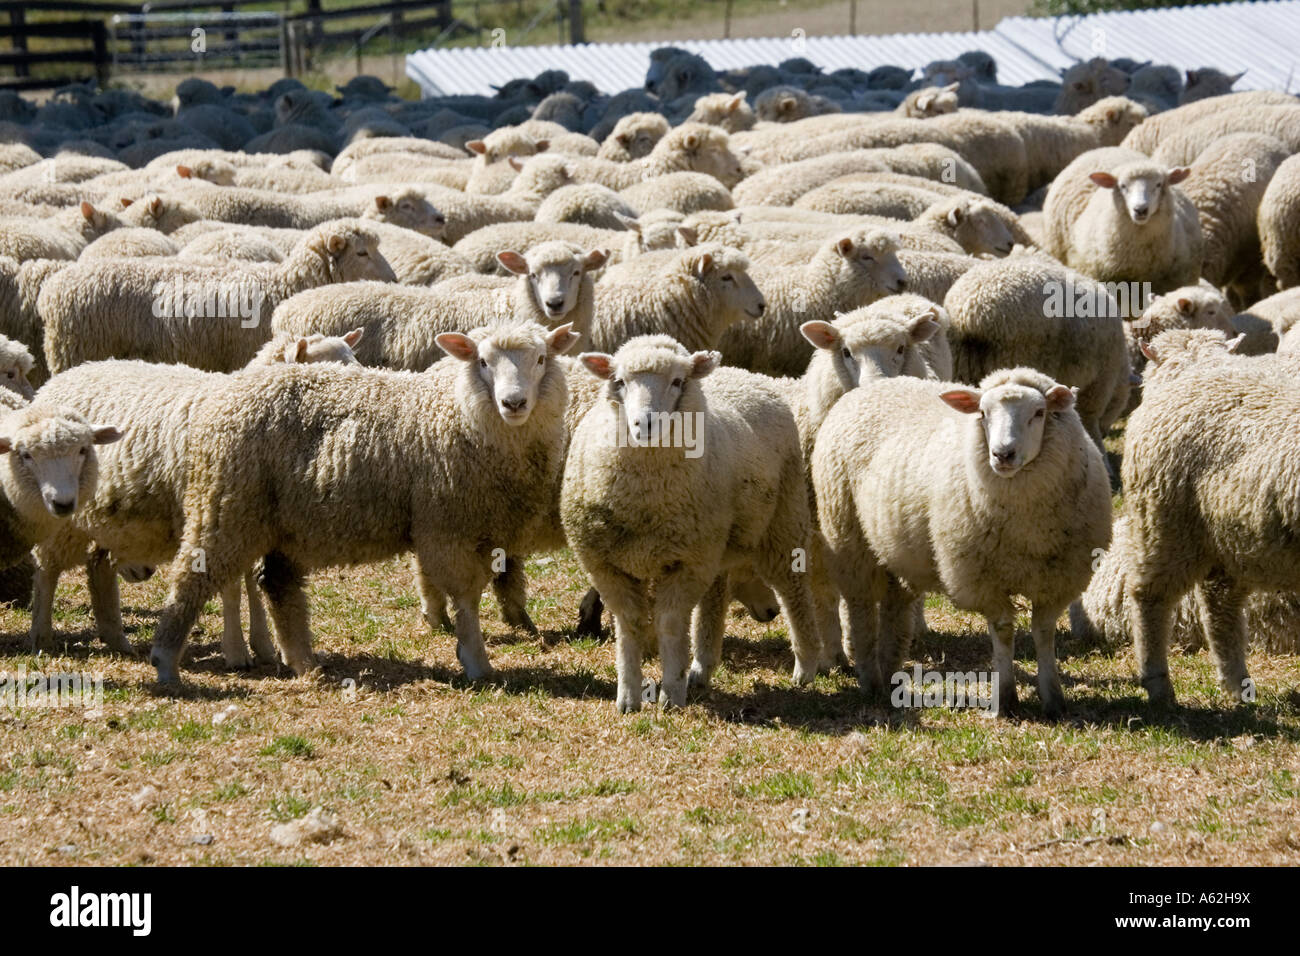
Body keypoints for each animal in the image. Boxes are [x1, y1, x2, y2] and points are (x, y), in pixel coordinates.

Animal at [145, 320, 579, 682]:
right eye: (484, 362)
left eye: (541, 359)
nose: (514, 403)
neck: (461, 413)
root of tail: (224, 395)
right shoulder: (446, 526)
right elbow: (465, 598)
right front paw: (475, 661)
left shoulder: (485, 527)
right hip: (227, 506)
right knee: (192, 576)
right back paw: (165, 663)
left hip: (280, 521)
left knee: (278, 585)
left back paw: (305, 664)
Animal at [560, 335, 821, 711]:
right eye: (619, 381)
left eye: (677, 382)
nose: (644, 424)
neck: (645, 494)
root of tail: (739, 371)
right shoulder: (607, 565)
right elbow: (630, 622)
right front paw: (628, 696)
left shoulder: (686, 562)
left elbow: (670, 623)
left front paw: (670, 693)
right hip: (714, 543)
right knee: (714, 597)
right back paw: (701, 667)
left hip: (781, 521)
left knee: (793, 590)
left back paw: (806, 667)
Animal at [811, 367, 1112, 715]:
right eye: (982, 413)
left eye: (1039, 413)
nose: (1003, 454)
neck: (1026, 531)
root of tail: (876, 386)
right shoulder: (983, 579)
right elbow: (1003, 631)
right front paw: (1004, 698)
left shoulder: (1057, 580)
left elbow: (1043, 633)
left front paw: (1053, 697)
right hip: (848, 540)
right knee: (860, 607)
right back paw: (870, 679)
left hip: (895, 553)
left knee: (893, 605)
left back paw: (888, 672)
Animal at [1117, 353, 1300, 704]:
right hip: (1166, 523)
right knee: (1149, 597)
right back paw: (1158, 683)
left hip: (1231, 542)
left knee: (1219, 606)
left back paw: (1236, 681)